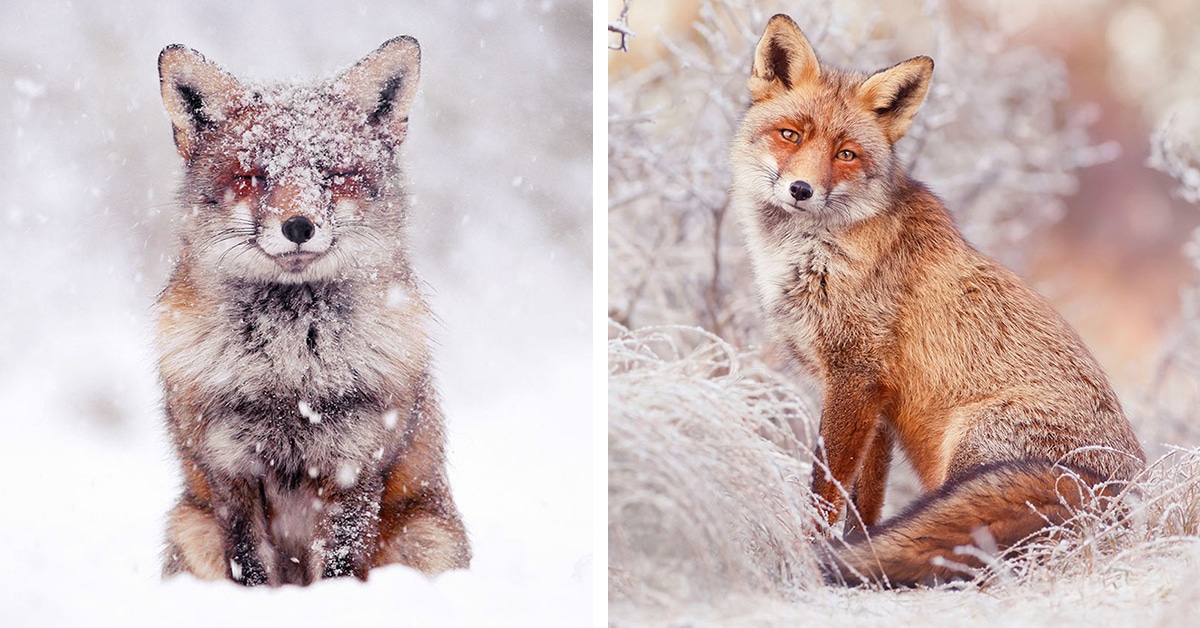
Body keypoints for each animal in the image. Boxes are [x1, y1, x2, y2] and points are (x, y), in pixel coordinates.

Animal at [155, 37, 470, 586]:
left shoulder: (356, 461)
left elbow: (341, 563)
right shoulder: (229, 468)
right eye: (253, 177)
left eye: (333, 174)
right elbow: (249, 565)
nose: (298, 226)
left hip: (426, 537)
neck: (291, 369)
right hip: (190, 525)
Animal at [730, 14, 1145, 586]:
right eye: (790, 134)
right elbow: (865, 504)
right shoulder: (878, 405)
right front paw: (858, 551)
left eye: (845, 154)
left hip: (971, 444)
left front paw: (812, 555)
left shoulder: (855, 376)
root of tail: (1124, 500)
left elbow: (824, 492)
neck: (815, 254)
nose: (800, 190)